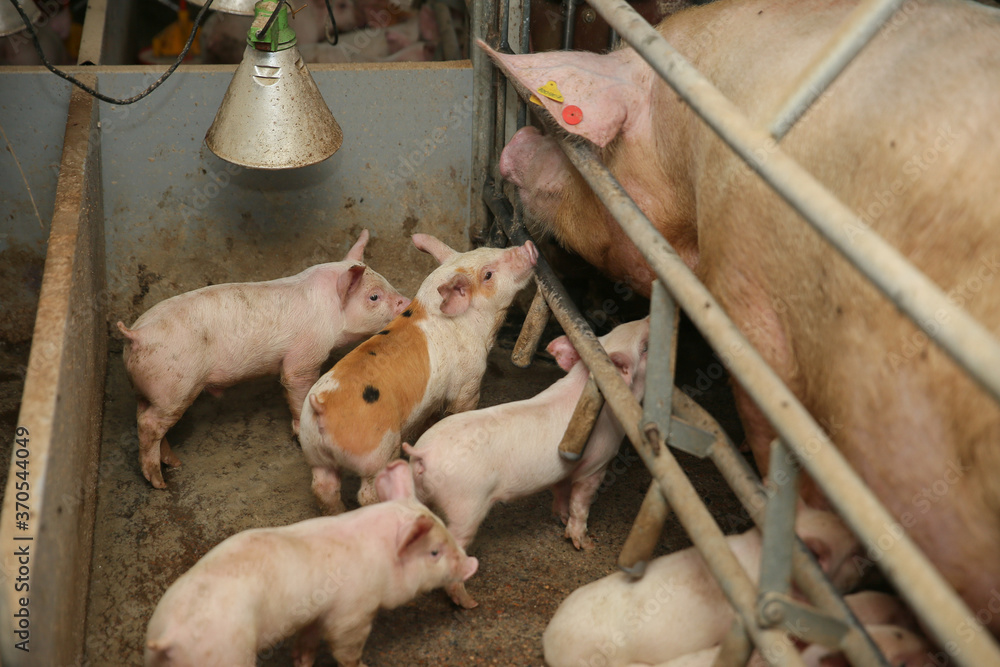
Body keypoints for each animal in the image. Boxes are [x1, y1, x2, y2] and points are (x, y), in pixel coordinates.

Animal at [117, 230, 409, 488]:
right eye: (374, 297)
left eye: (386, 281)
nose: (406, 301)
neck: (328, 310)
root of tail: (137, 335)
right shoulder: (304, 355)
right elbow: (296, 384)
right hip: (175, 386)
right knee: (149, 424)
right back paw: (160, 482)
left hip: (150, 390)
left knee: (145, 418)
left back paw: (173, 462)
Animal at [144, 460, 478, 667]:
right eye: (434, 552)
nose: (472, 563)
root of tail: (168, 636)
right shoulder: (353, 612)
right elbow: (346, 647)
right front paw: (364, 664)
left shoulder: (316, 613)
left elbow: (308, 640)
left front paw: (302, 660)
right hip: (225, 653)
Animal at [298, 234, 538, 515]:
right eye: (488, 274)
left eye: (488, 248)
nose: (528, 246)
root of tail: (322, 405)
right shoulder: (468, 380)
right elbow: (462, 408)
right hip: (377, 450)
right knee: (367, 493)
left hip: (314, 451)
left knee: (323, 487)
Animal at [403, 317, 649, 607]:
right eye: (644, 348)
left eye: (615, 328)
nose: (647, 318)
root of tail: (424, 453)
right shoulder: (597, 463)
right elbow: (581, 503)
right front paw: (586, 545)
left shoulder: (563, 467)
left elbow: (561, 490)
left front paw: (559, 518)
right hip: (466, 505)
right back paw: (469, 602)